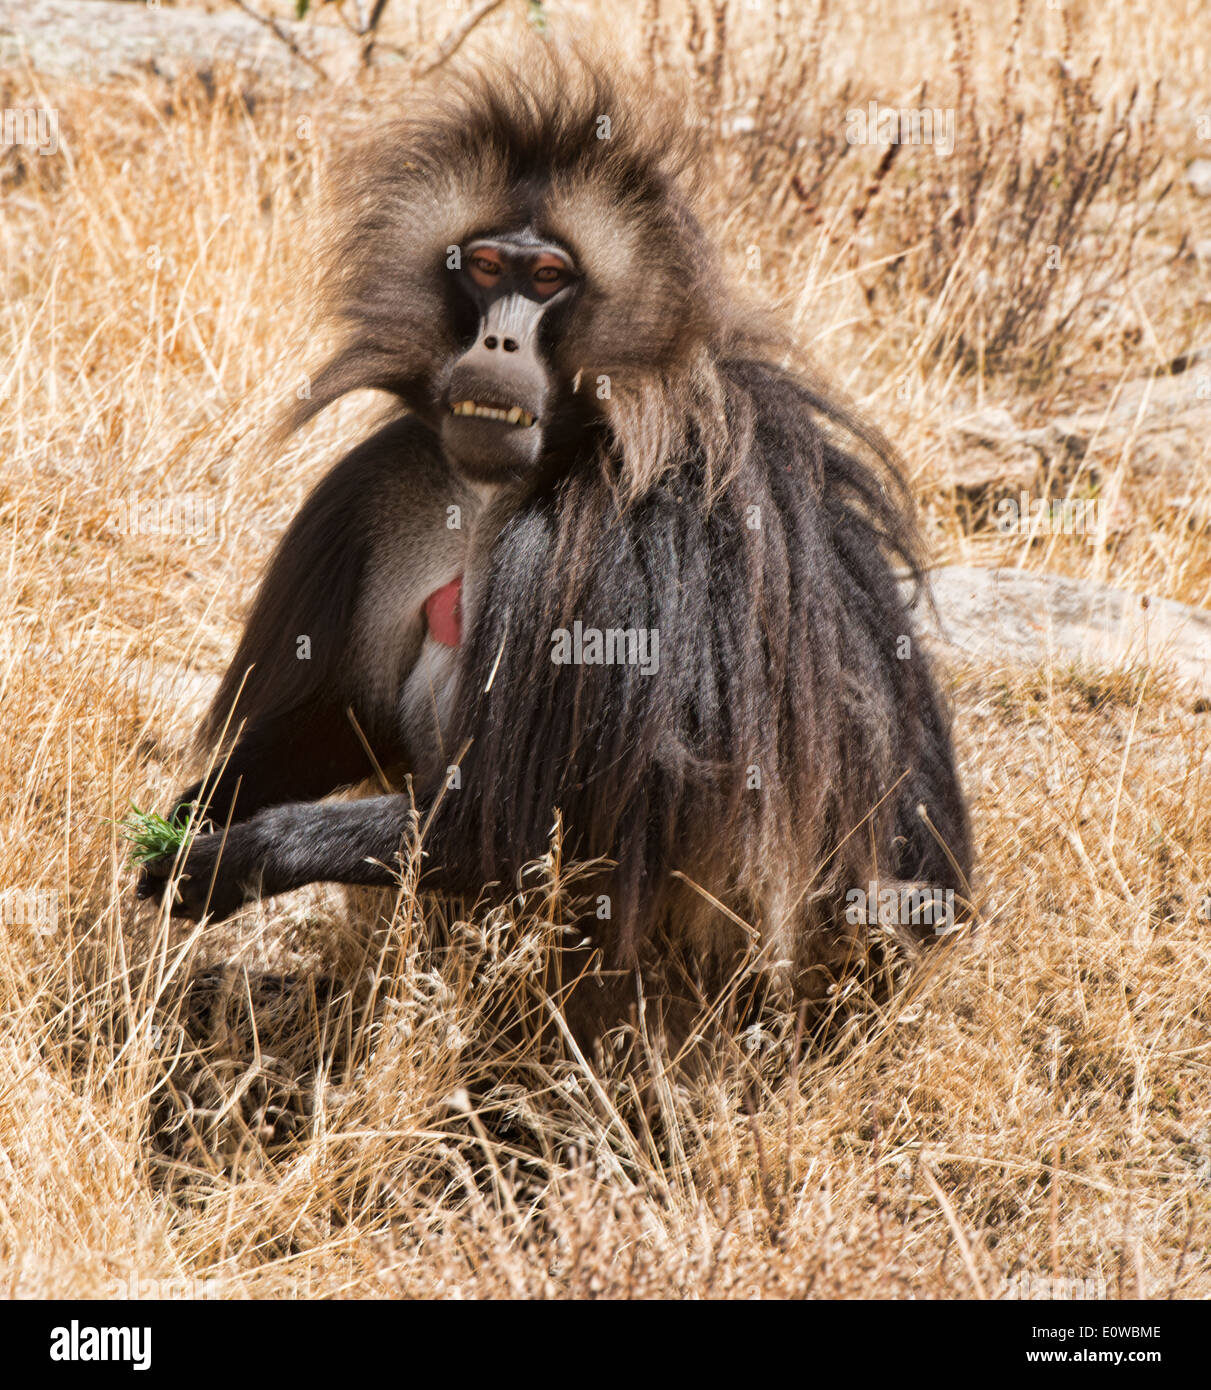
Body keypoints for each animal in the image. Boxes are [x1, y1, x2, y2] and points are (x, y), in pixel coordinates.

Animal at [138, 58, 972, 1028]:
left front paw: (233, 856)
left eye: (547, 279)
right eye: (484, 266)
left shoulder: (623, 545)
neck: (517, 482)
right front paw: (194, 814)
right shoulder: (387, 484)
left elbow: (523, 833)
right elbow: (343, 719)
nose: (499, 340)